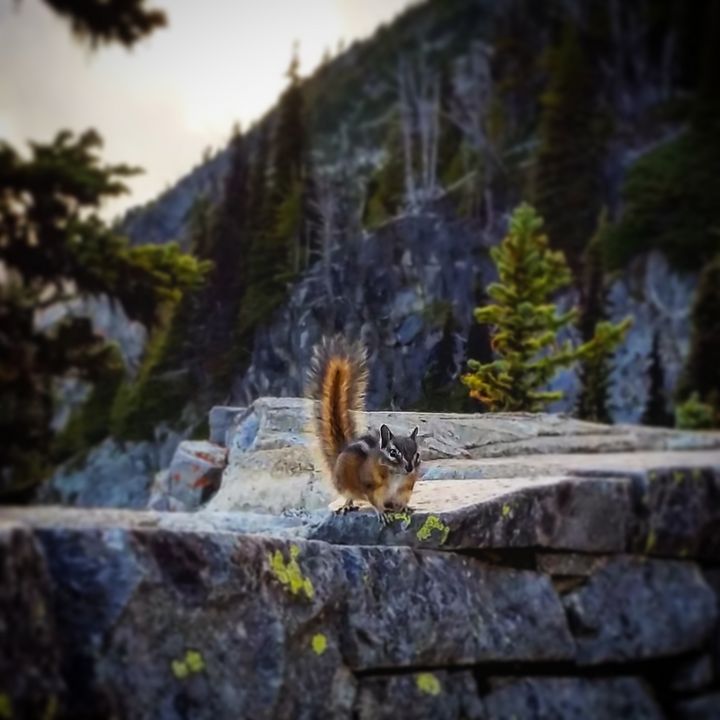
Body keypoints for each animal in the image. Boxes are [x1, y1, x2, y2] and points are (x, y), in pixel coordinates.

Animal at [306, 335, 421, 523]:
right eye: (393, 452)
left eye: (417, 454)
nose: (410, 468)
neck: (396, 476)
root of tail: (341, 452)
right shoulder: (371, 487)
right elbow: (375, 501)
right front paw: (381, 513)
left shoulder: (406, 489)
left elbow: (403, 500)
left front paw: (405, 508)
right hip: (343, 483)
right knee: (348, 495)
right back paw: (347, 505)